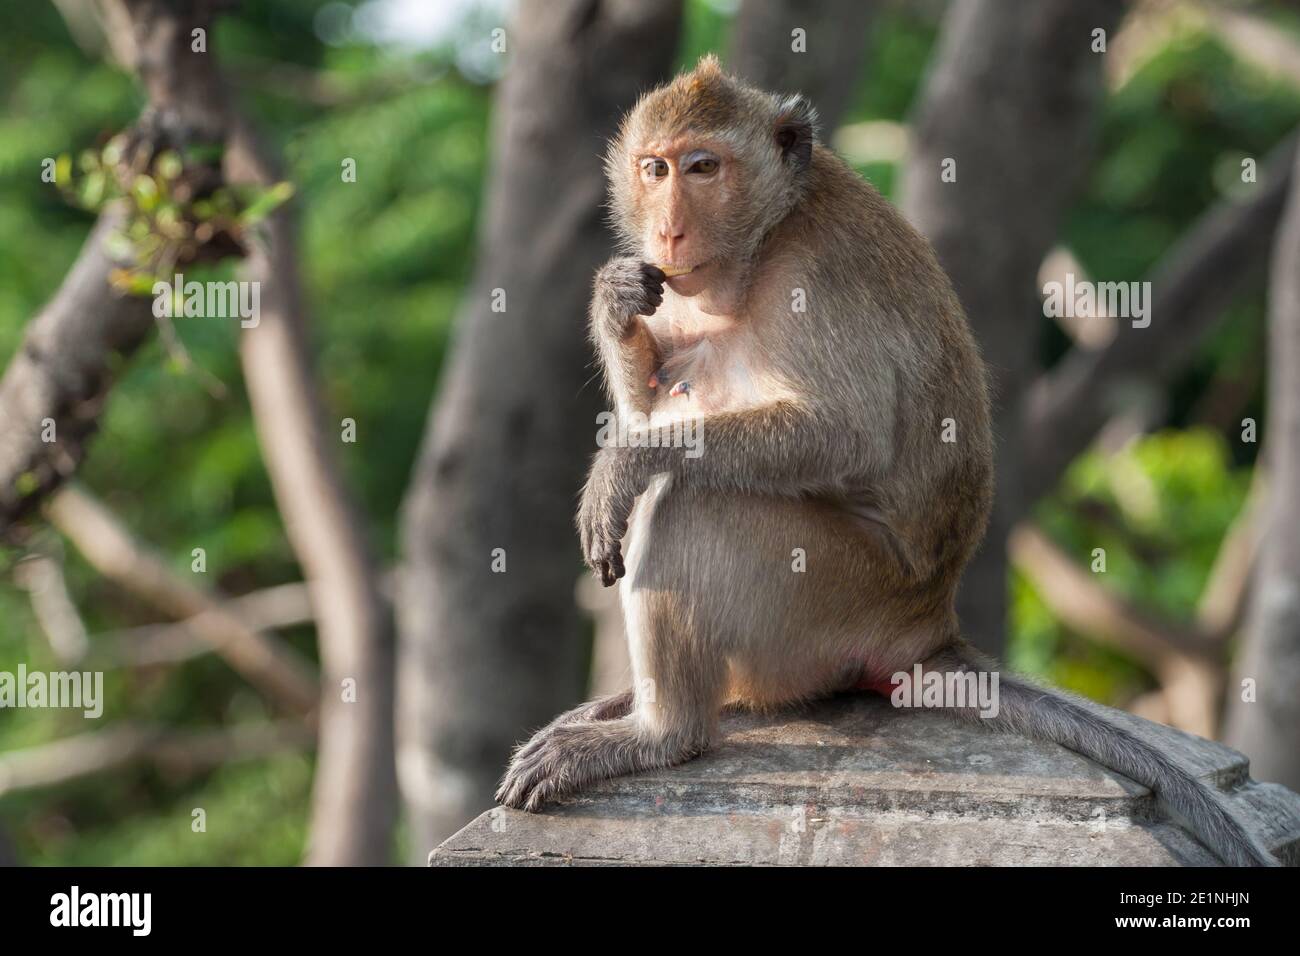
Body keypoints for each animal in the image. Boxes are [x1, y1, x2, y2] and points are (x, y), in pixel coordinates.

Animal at [496, 55, 1278, 867]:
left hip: (834, 597)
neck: (764, 239)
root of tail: (927, 628)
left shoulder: (813, 278)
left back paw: (661, 732)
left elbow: (849, 434)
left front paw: (623, 464)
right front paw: (612, 302)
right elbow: (658, 388)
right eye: (655, 168)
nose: (668, 228)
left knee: (691, 499)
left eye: (704, 167)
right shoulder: (673, 291)